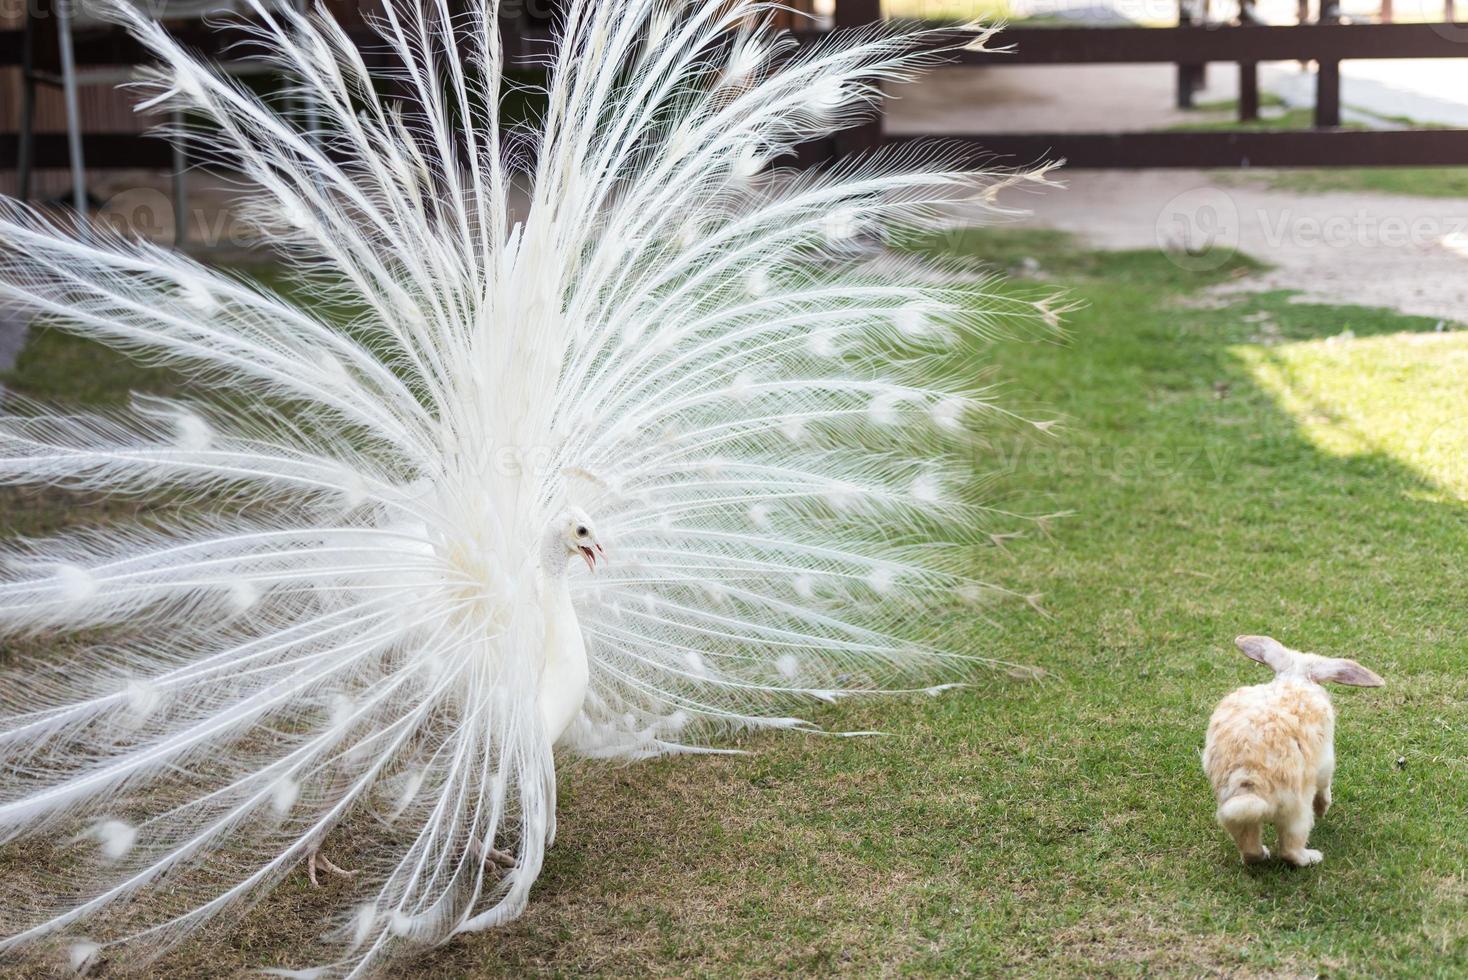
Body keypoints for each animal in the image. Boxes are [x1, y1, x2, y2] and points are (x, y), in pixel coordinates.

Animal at [1203, 639, 1374, 868]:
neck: (1296, 678)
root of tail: (1250, 779)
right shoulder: (1326, 762)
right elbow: (1325, 786)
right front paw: (1323, 808)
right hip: (1298, 810)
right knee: (1290, 850)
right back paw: (1312, 857)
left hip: (1231, 812)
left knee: (1249, 848)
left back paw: (1262, 855)